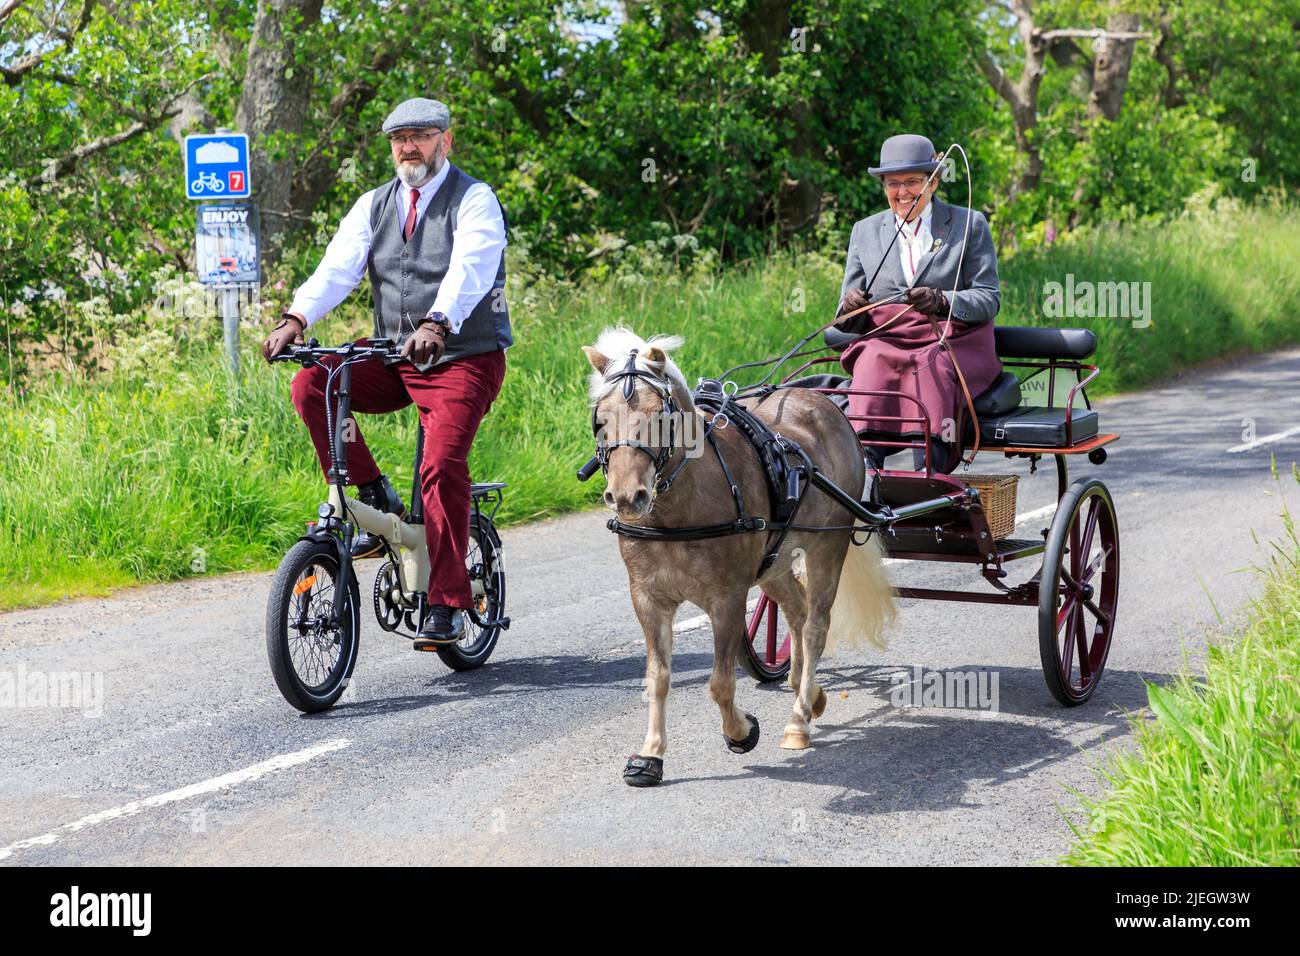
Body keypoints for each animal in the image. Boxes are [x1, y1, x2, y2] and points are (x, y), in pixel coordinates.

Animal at [582, 327, 896, 786]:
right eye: (601, 420)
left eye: (660, 416)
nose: (626, 497)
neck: (680, 509)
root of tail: (821, 402)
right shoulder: (648, 599)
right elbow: (658, 678)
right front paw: (650, 755)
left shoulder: (727, 600)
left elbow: (719, 683)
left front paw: (740, 732)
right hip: (773, 562)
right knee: (797, 612)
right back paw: (808, 691)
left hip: (828, 547)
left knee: (815, 626)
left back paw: (799, 718)